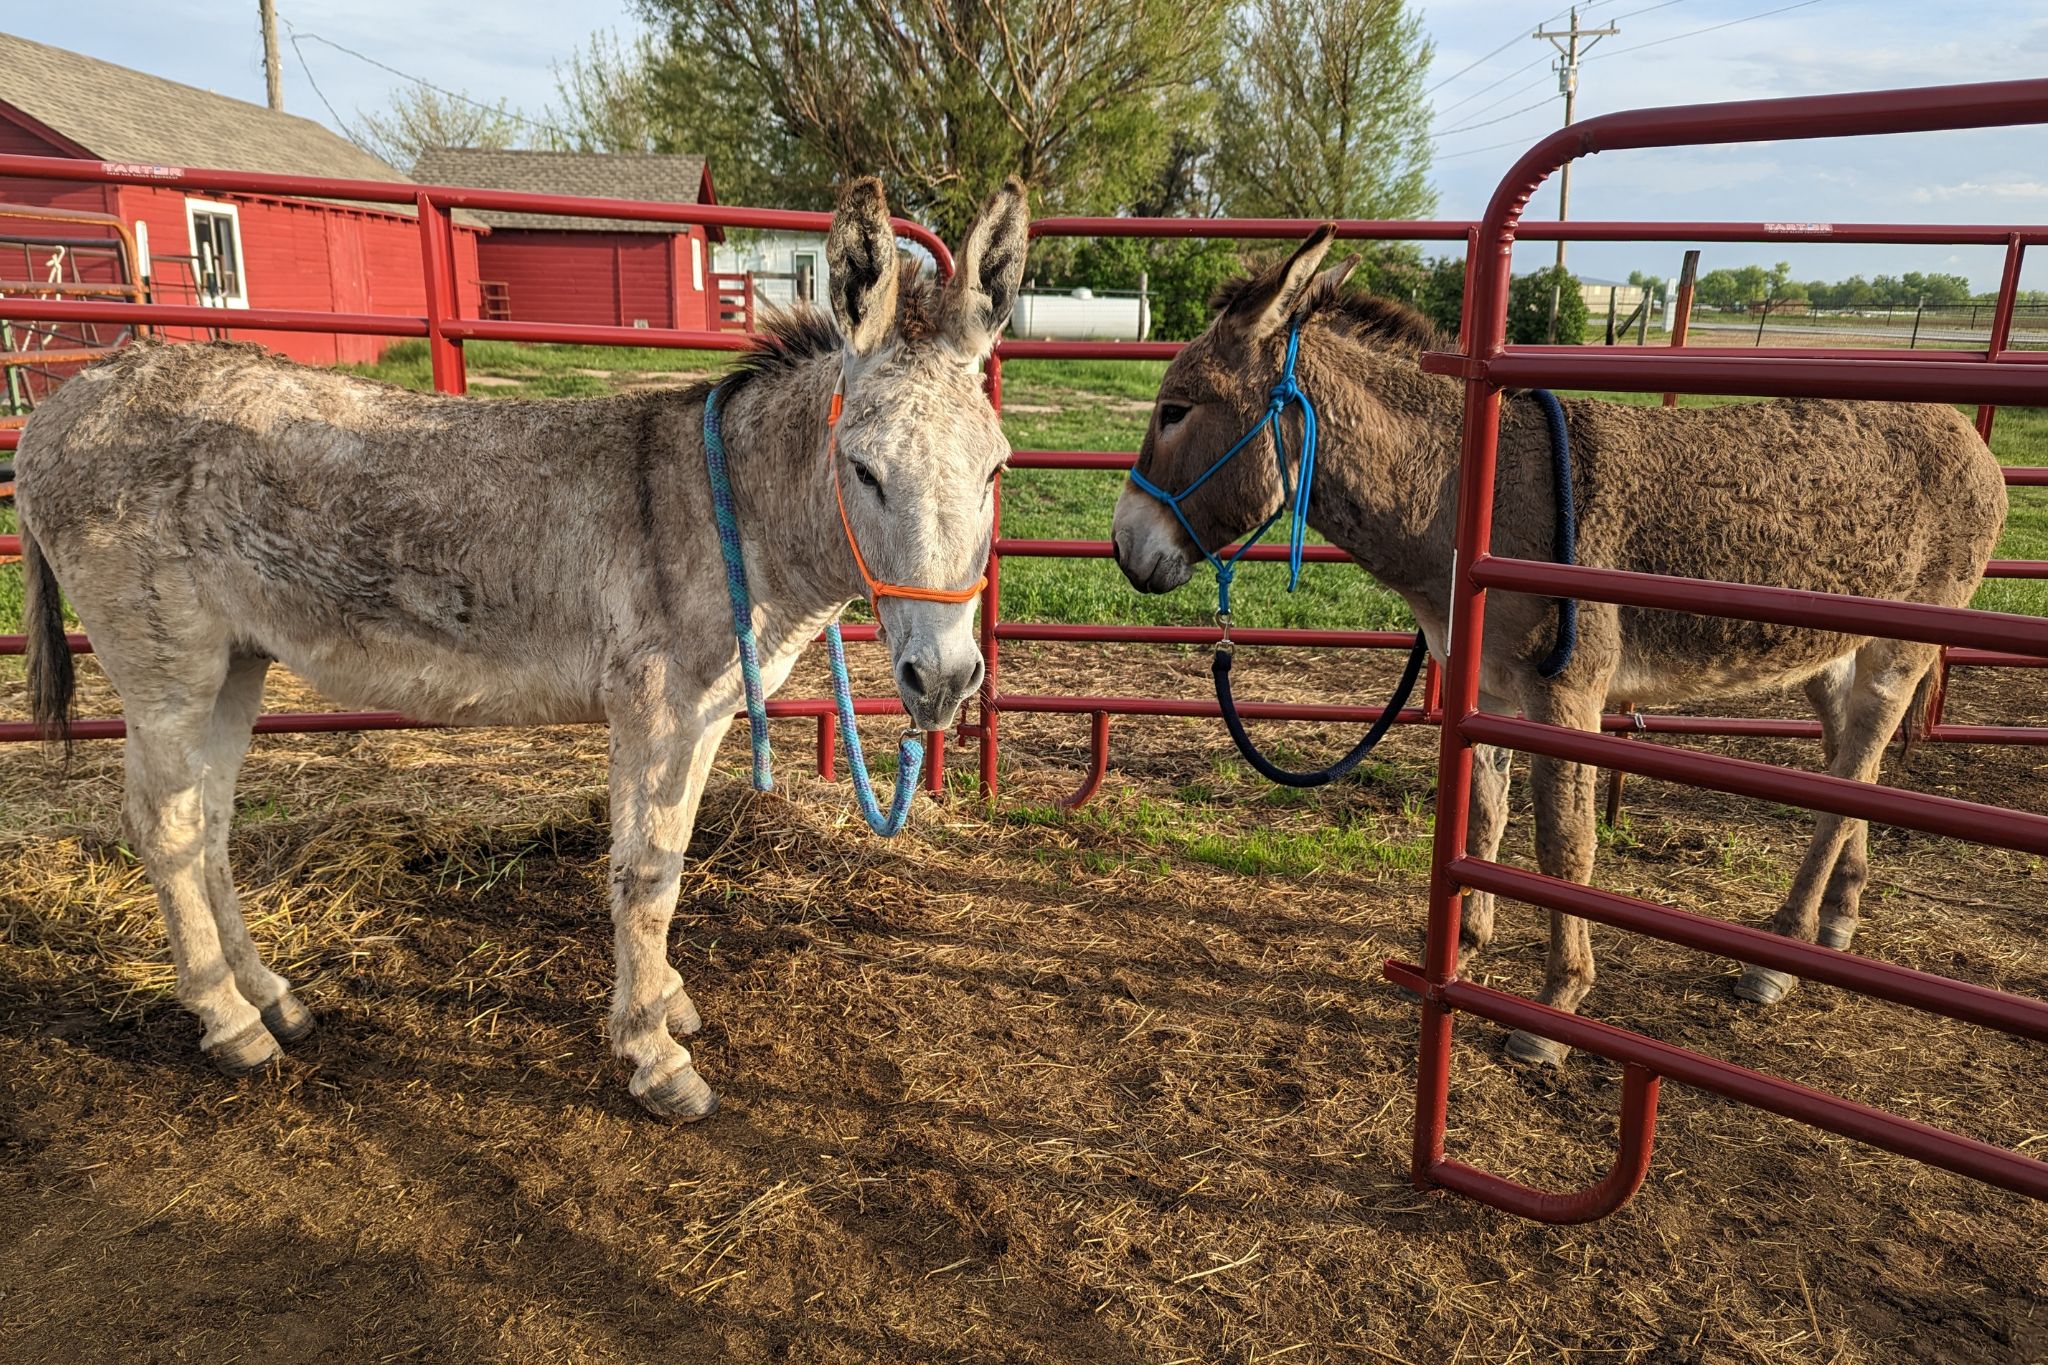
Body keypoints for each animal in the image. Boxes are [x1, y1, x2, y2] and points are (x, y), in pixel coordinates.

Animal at [15, 176, 1028, 1118]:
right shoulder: (654, 710)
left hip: (236, 662)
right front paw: (655, 1057)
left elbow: (671, 860)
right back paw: (228, 1022)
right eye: (864, 470)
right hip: (167, 671)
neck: (729, 510)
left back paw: (272, 998)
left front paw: (665, 1000)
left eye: (996, 469)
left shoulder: (707, 712)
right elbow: (643, 873)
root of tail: (70, 397)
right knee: (165, 826)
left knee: (208, 826)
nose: (944, 679)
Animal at [1111, 225, 2006, 1064]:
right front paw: (1463, 947)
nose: (1123, 548)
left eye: (1175, 409)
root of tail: (1964, 429)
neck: (1466, 495)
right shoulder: (1484, 685)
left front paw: (1554, 1007)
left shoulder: (1567, 694)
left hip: (1899, 650)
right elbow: (1482, 813)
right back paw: (1836, 919)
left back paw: (1776, 952)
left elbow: (1563, 843)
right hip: (1826, 652)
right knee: (1854, 765)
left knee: (1854, 769)